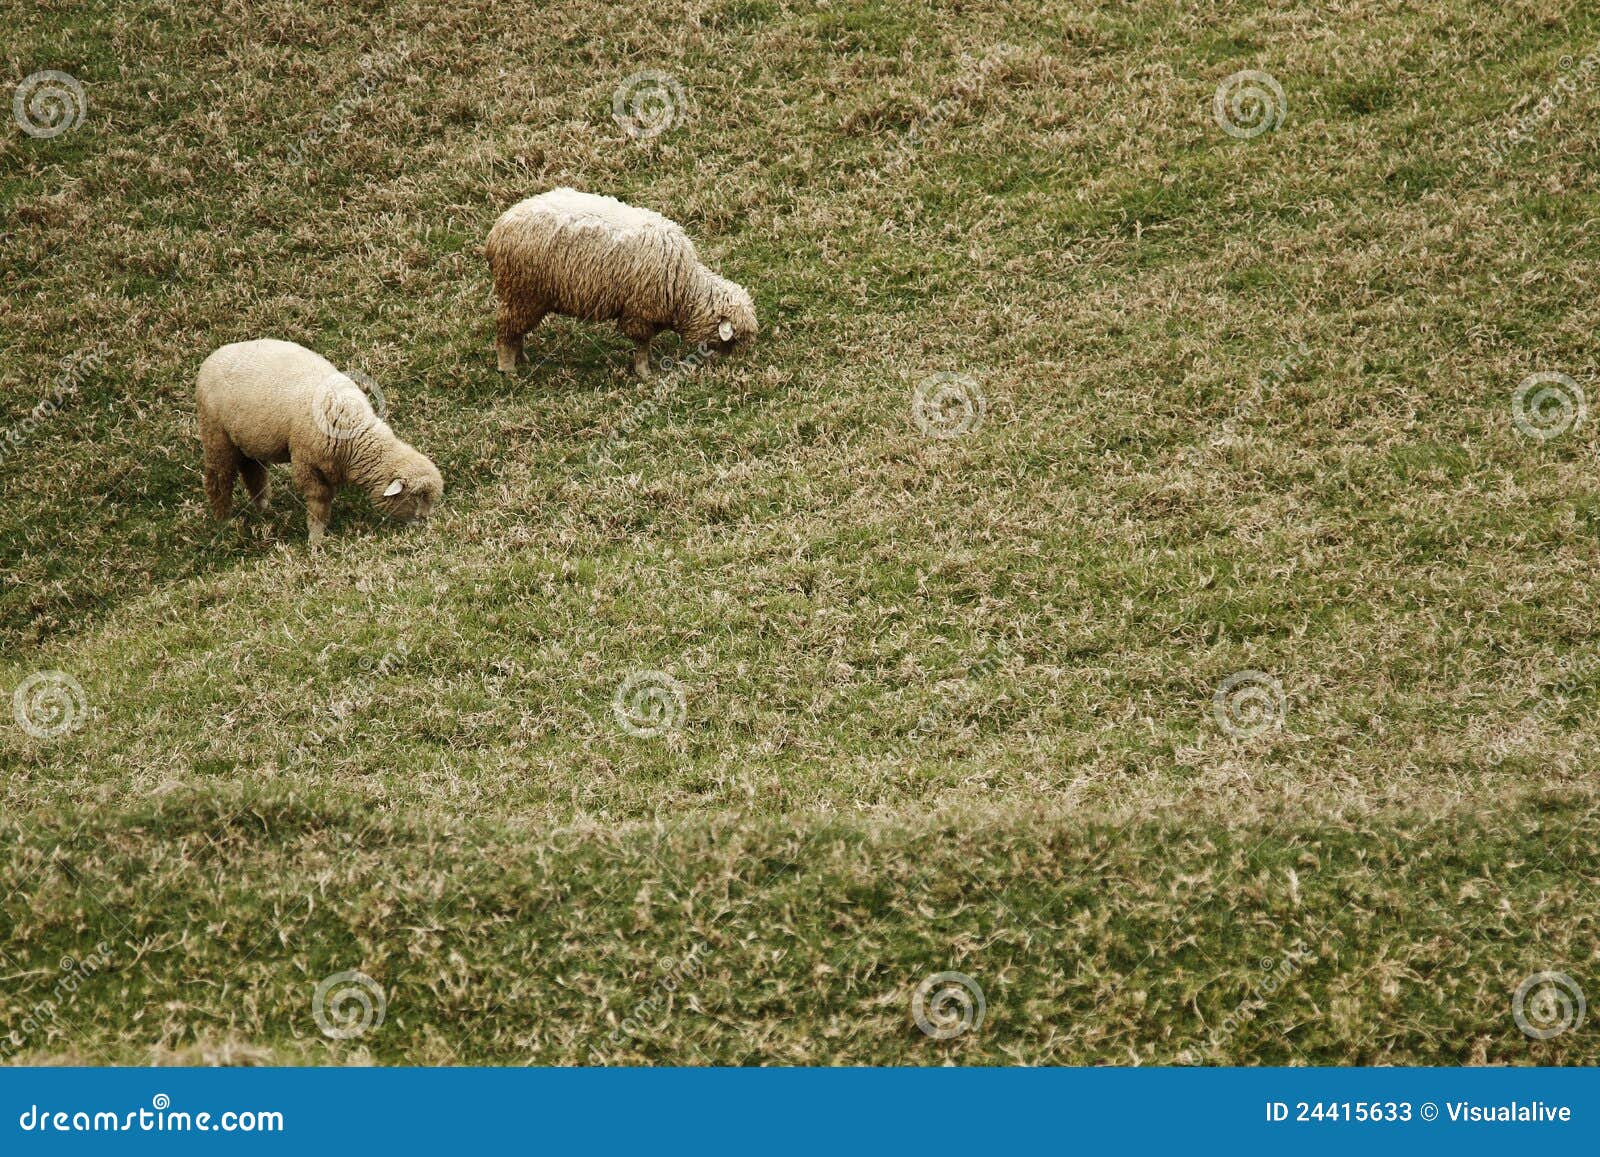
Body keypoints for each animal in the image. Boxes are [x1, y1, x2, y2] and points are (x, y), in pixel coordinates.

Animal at [195, 339, 442, 548]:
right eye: (416, 498)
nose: (424, 523)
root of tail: (213, 356)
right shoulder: (307, 463)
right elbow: (319, 500)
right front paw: (316, 538)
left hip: (249, 438)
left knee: (252, 470)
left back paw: (263, 508)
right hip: (215, 433)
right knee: (219, 477)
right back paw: (223, 520)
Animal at [485, 188, 757, 379]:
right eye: (734, 340)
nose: (730, 364)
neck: (685, 287)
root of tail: (497, 230)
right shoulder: (641, 311)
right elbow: (642, 344)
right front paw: (644, 372)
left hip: (525, 297)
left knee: (516, 329)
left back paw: (521, 358)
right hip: (522, 292)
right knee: (505, 329)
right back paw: (507, 367)